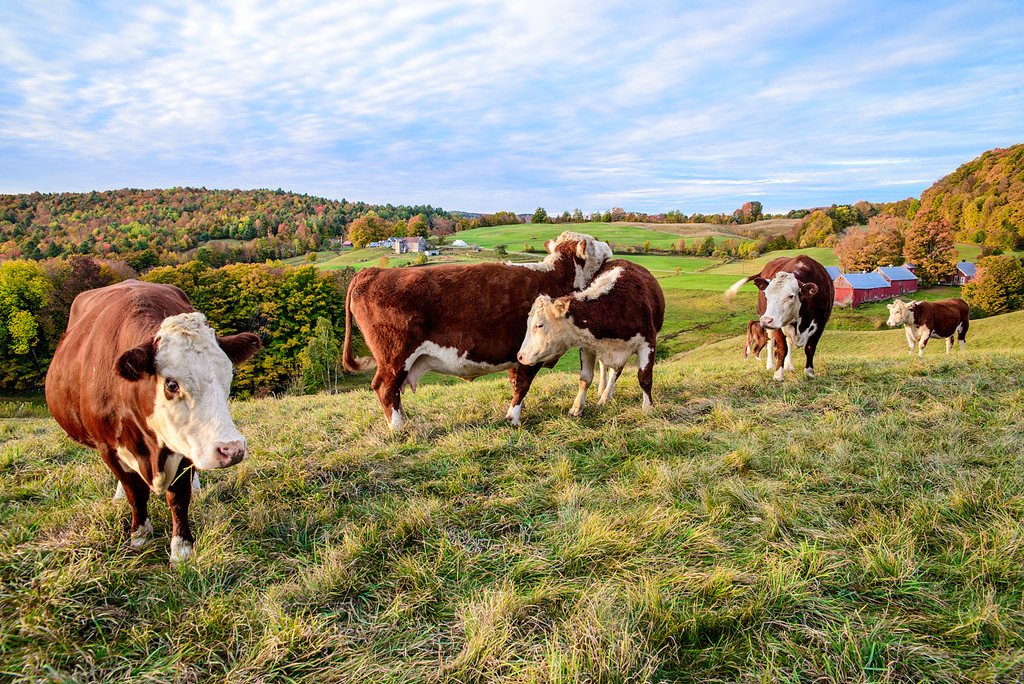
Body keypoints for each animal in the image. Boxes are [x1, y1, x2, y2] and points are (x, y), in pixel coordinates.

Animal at [45, 280, 261, 563]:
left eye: (228, 374)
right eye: (171, 384)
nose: (232, 449)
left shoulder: (183, 443)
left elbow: (179, 496)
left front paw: (181, 547)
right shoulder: (108, 448)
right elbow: (135, 493)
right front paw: (140, 536)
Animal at [342, 231, 613, 429]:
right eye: (594, 245)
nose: (610, 248)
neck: (554, 277)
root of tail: (371, 272)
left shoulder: (518, 354)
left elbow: (515, 382)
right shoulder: (530, 353)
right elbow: (523, 384)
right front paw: (513, 418)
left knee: (394, 391)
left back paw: (406, 421)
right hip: (395, 354)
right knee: (385, 387)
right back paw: (399, 428)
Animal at [516, 259, 665, 415]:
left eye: (539, 325)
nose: (520, 356)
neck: (613, 308)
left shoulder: (648, 343)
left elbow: (644, 378)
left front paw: (648, 407)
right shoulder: (587, 345)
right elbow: (585, 378)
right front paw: (577, 407)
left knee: (615, 373)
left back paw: (606, 396)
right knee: (606, 368)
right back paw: (603, 393)